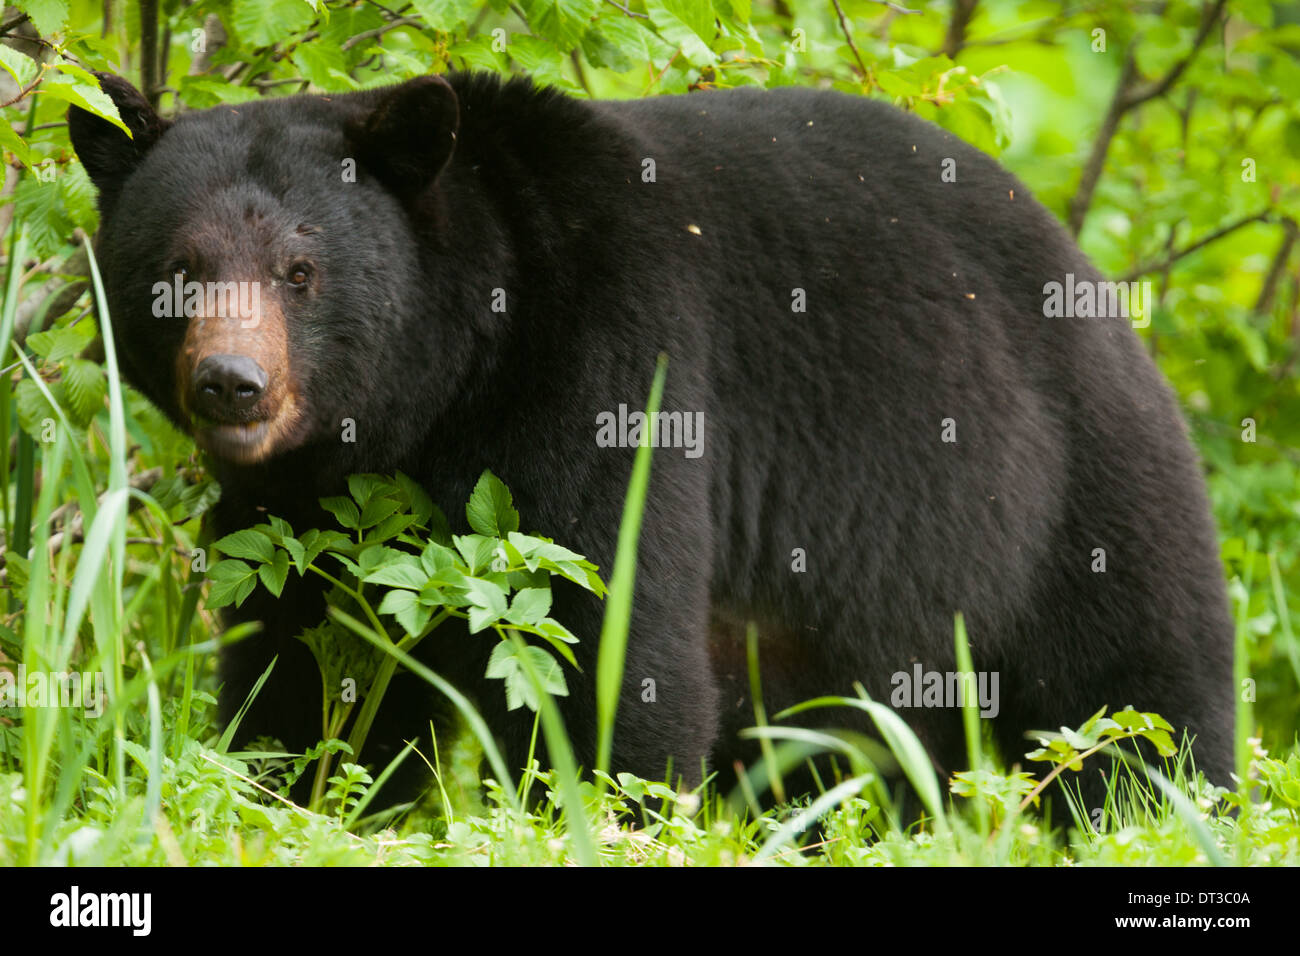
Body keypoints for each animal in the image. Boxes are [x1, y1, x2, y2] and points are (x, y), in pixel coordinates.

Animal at [67, 69, 1234, 819]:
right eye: (179, 267)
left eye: (300, 272)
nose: (233, 384)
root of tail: (1098, 285)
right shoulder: (304, 501)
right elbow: (306, 650)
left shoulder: (617, 359)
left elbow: (607, 633)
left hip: (1070, 495)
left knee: (1137, 700)